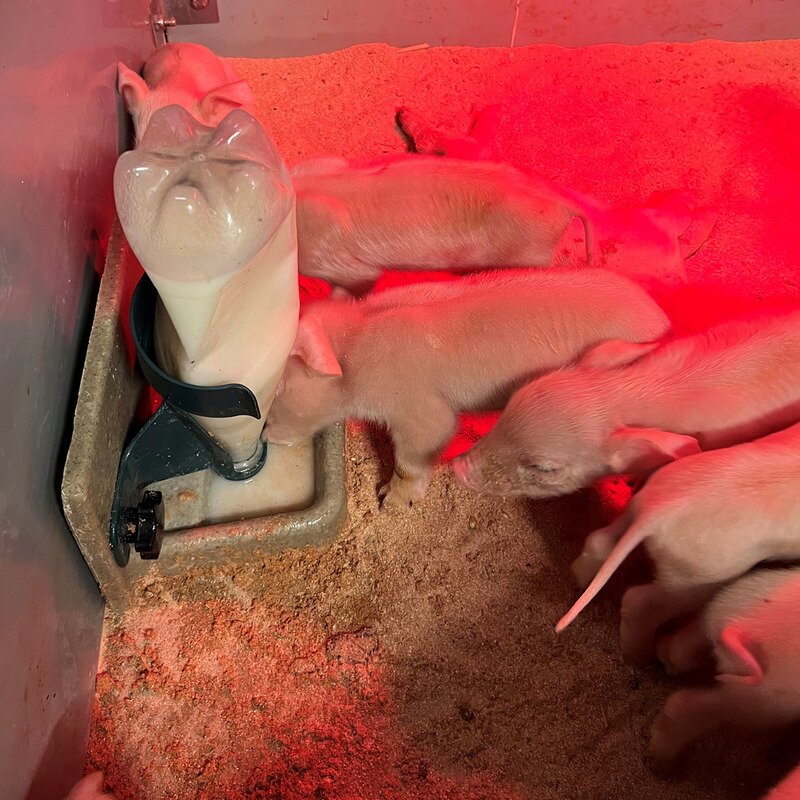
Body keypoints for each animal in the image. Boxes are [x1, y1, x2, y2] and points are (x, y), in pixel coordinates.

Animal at [264, 268, 669, 509]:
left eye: (274, 391)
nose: (267, 437)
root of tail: (661, 321)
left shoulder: (410, 398)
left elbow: (427, 439)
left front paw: (393, 500)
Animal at [555, 420, 800, 667]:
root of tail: (654, 512)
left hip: (637, 508)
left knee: (600, 540)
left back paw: (578, 578)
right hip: (698, 576)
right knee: (641, 601)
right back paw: (640, 656)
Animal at [646, 567, 800, 774]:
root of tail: (739, 629)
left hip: (719, 607)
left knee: (683, 648)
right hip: (766, 701)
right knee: (689, 706)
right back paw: (663, 766)